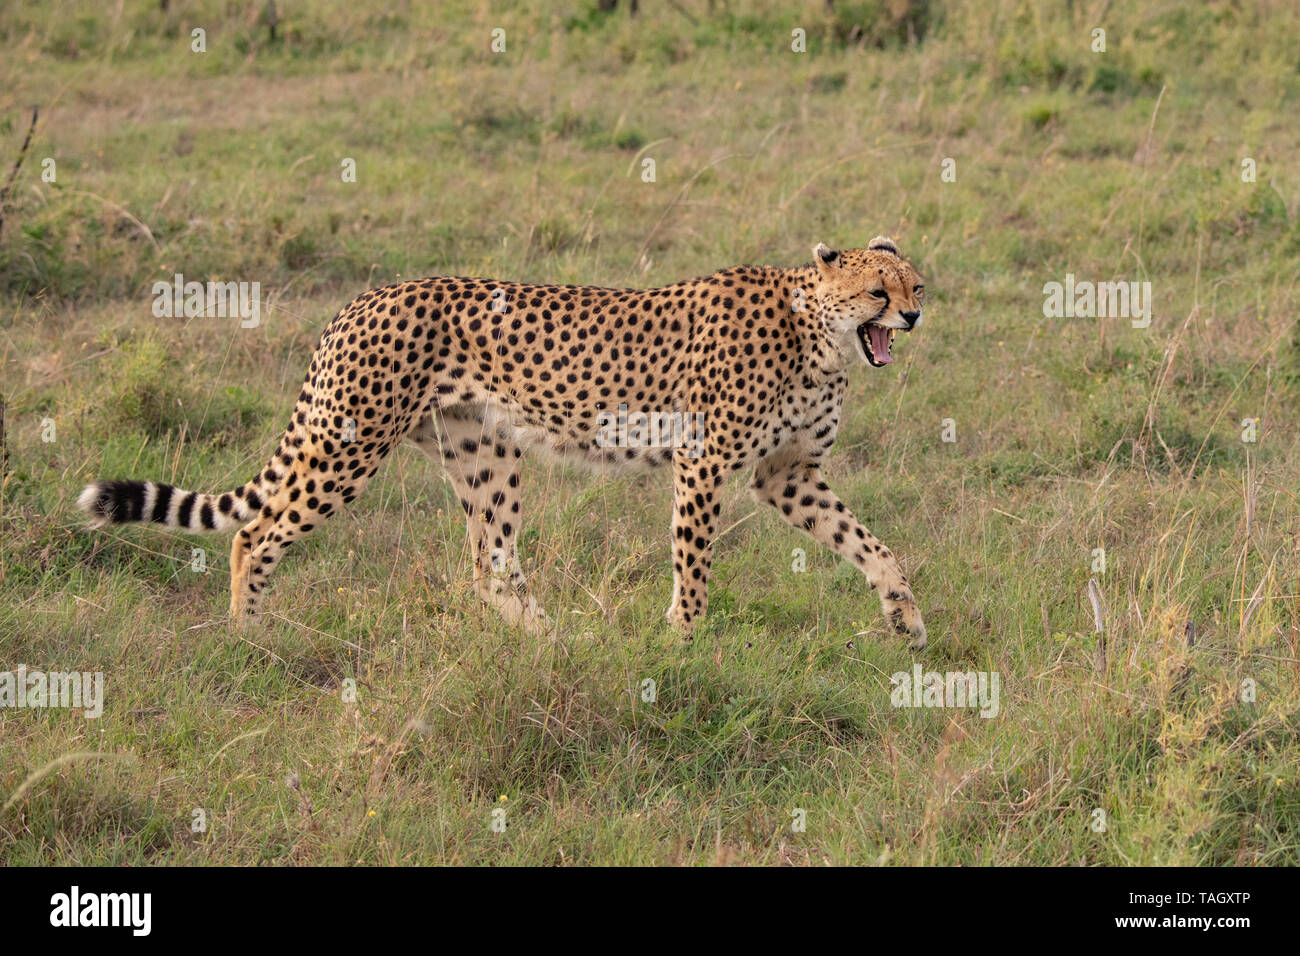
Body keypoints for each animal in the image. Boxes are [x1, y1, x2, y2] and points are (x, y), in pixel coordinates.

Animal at [78, 236, 928, 648]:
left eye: (916, 284)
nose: (914, 316)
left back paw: (562, 642)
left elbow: (873, 544)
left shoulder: (788, 473)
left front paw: (906, 620)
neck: (817, 336)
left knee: (490, 567)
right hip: (350, 444)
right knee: (254, 532)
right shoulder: (704, 461)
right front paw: (684, 640)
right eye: (877, 290)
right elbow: (694, 563)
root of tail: (366, 296)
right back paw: (251, 637)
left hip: (483, 454)